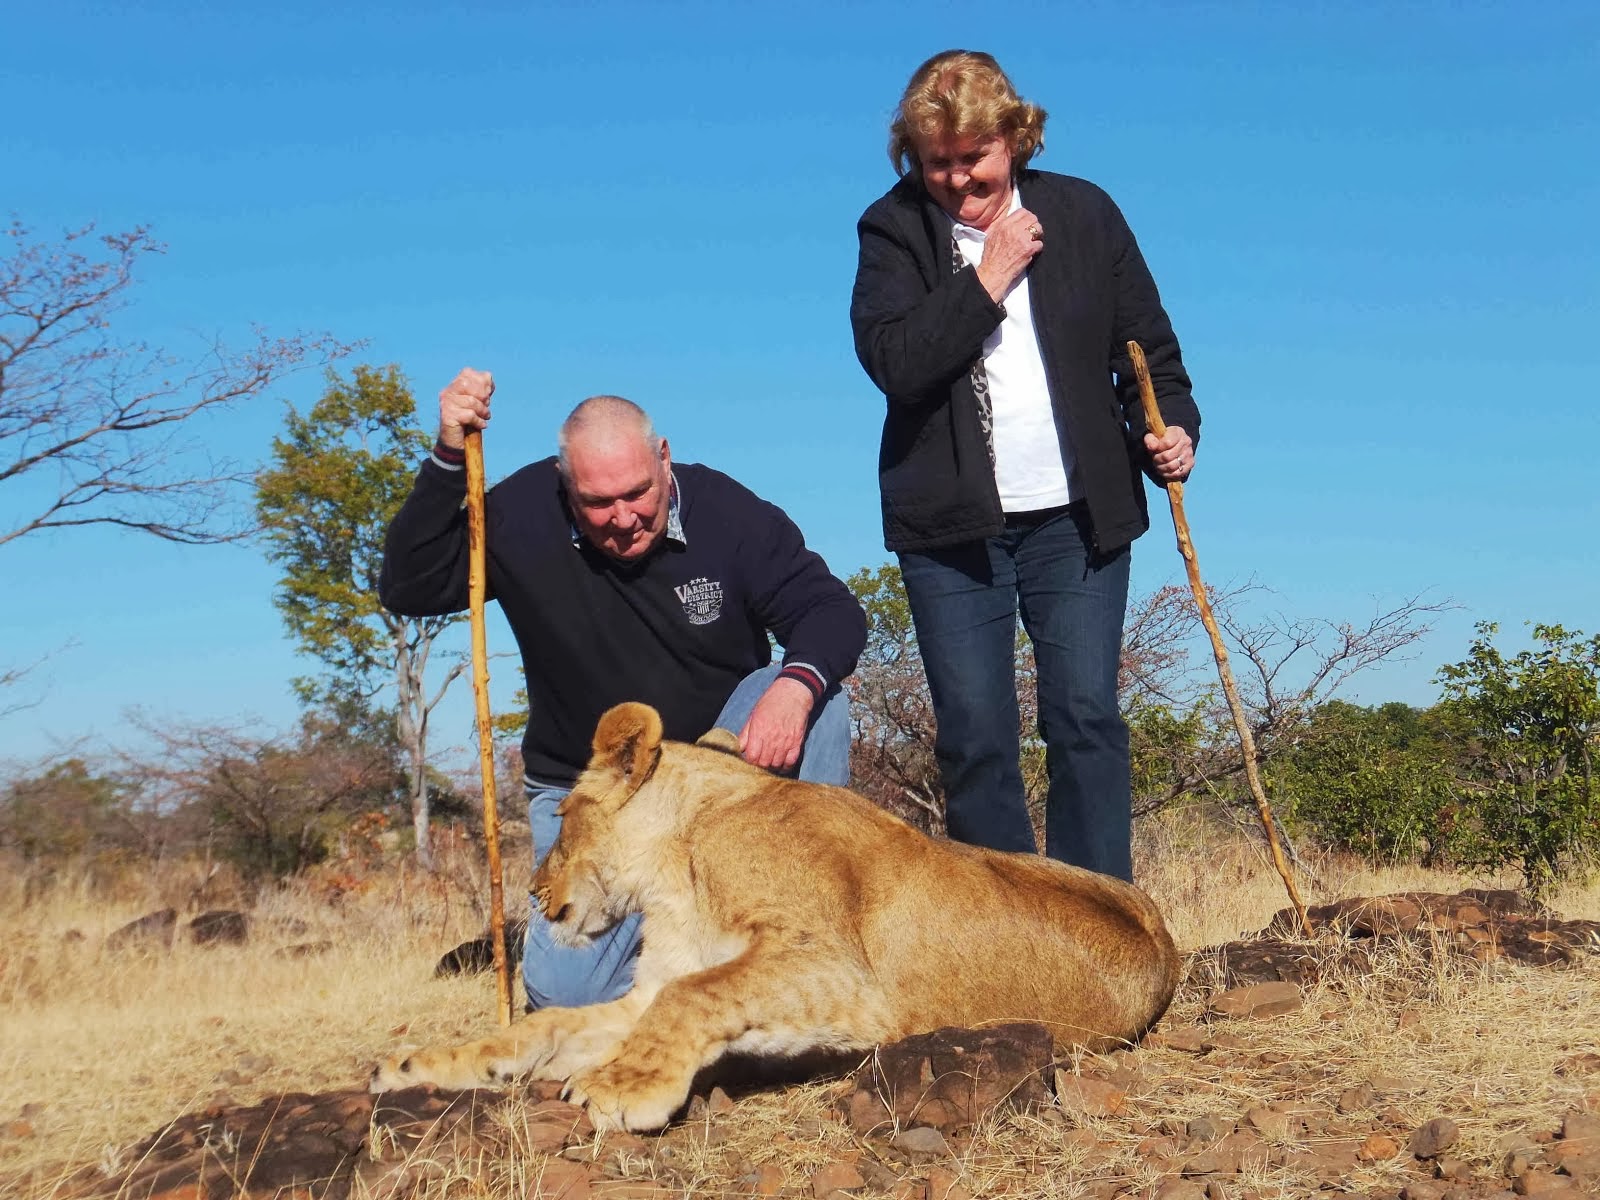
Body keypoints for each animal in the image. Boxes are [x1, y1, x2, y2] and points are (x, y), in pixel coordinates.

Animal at [371, 702, 1180, 1131]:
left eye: (562, 817)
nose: (537, 893)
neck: (677, 865)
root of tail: (1167, 943)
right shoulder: (643, 993)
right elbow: (546, 1027)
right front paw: (414, 1066)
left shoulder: (849, 977)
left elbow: (694, 994)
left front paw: (621, 1087)